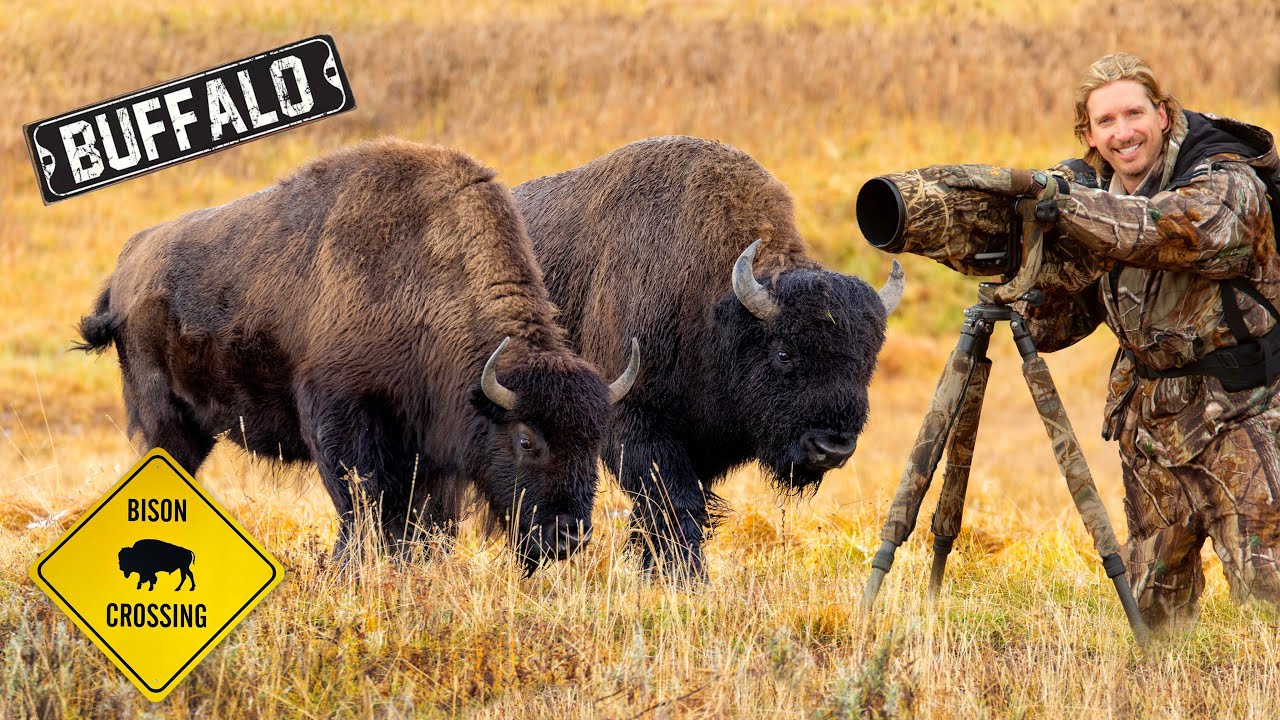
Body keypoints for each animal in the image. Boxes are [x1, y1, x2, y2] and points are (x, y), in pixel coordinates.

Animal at [78, 139, 638, 572]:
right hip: (166, 423)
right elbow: (359, 498)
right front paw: (350, 564)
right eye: (526, 440)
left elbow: (422, 519)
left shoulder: (430, 450)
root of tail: (127, 267)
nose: (568, 535)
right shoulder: (340, 415)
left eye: (595, 440)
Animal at [514, 136, 901, 577]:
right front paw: (685, 577)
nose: (832, 448)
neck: (717, 310)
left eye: (867, 361)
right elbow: (675, 502)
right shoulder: (637, 425)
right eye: (783, 353)